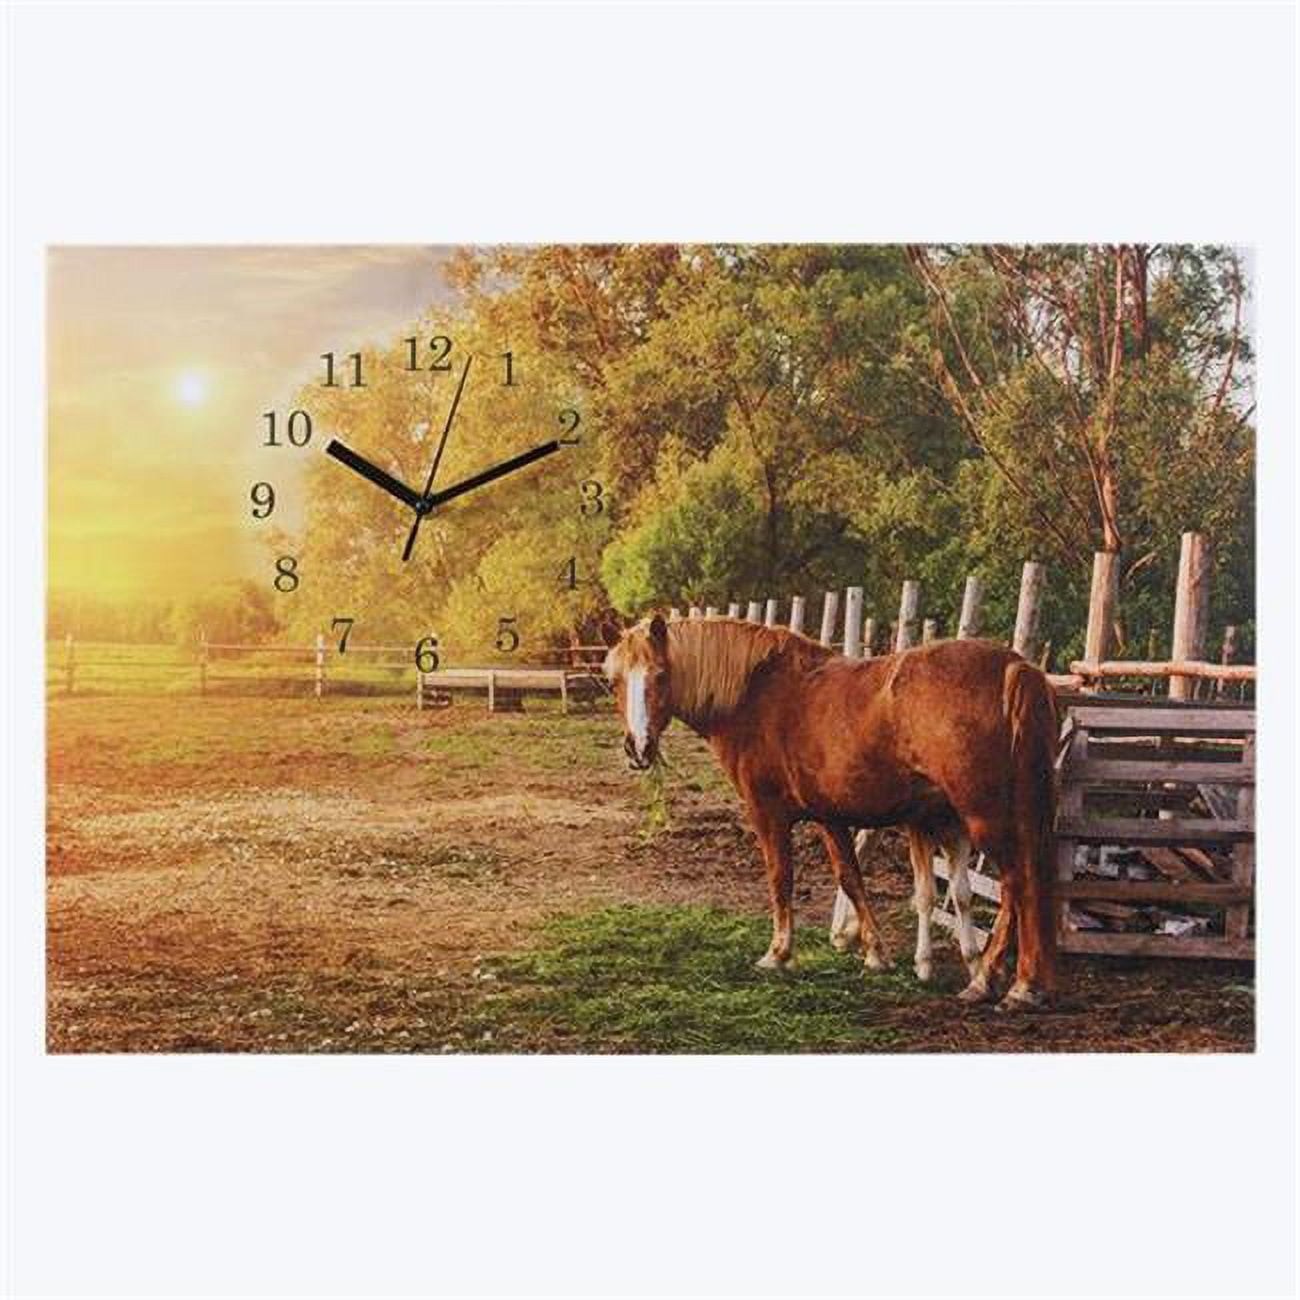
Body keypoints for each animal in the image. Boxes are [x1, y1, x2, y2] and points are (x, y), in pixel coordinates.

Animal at [602, 614, 1059, 1009]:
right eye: (614, 681)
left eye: (660, 675)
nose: (637, 749)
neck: (756, 696)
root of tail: (1014, 667)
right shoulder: (830, 816)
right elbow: (850, 878)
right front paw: (875, 953)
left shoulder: (767, 814)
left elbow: (781, 879)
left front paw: (778, 953)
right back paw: (1004, 980)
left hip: (985, 817)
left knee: (1018, 884)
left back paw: (1007, 983)